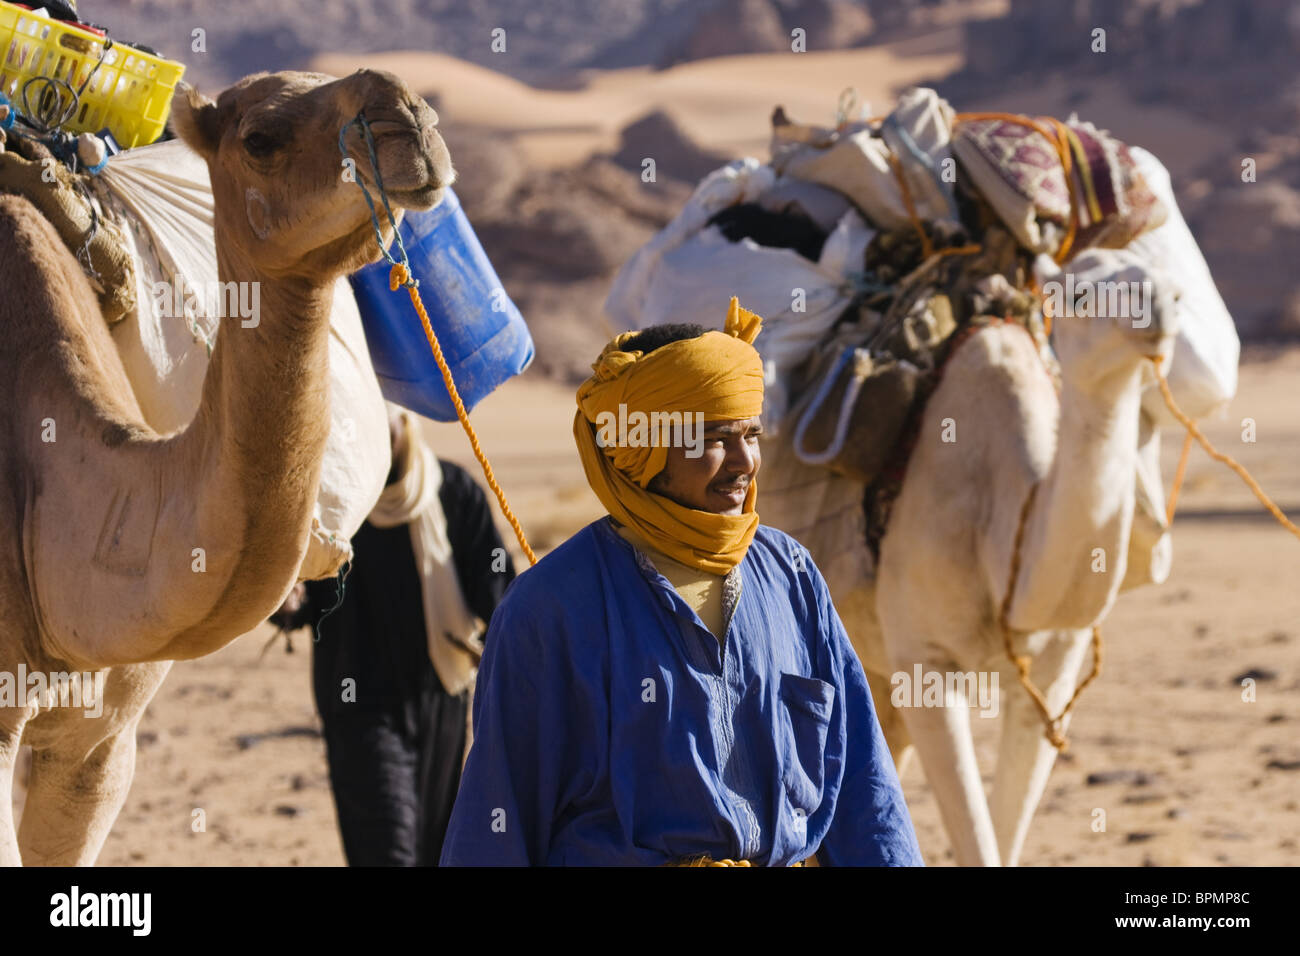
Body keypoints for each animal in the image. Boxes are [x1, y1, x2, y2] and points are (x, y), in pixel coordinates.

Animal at [755, 246, 1177, 865]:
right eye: (1078, 294)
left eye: (1170, 286)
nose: (1160, 306)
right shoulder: (925, 661)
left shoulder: (1052, 674)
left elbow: (1003, 832)